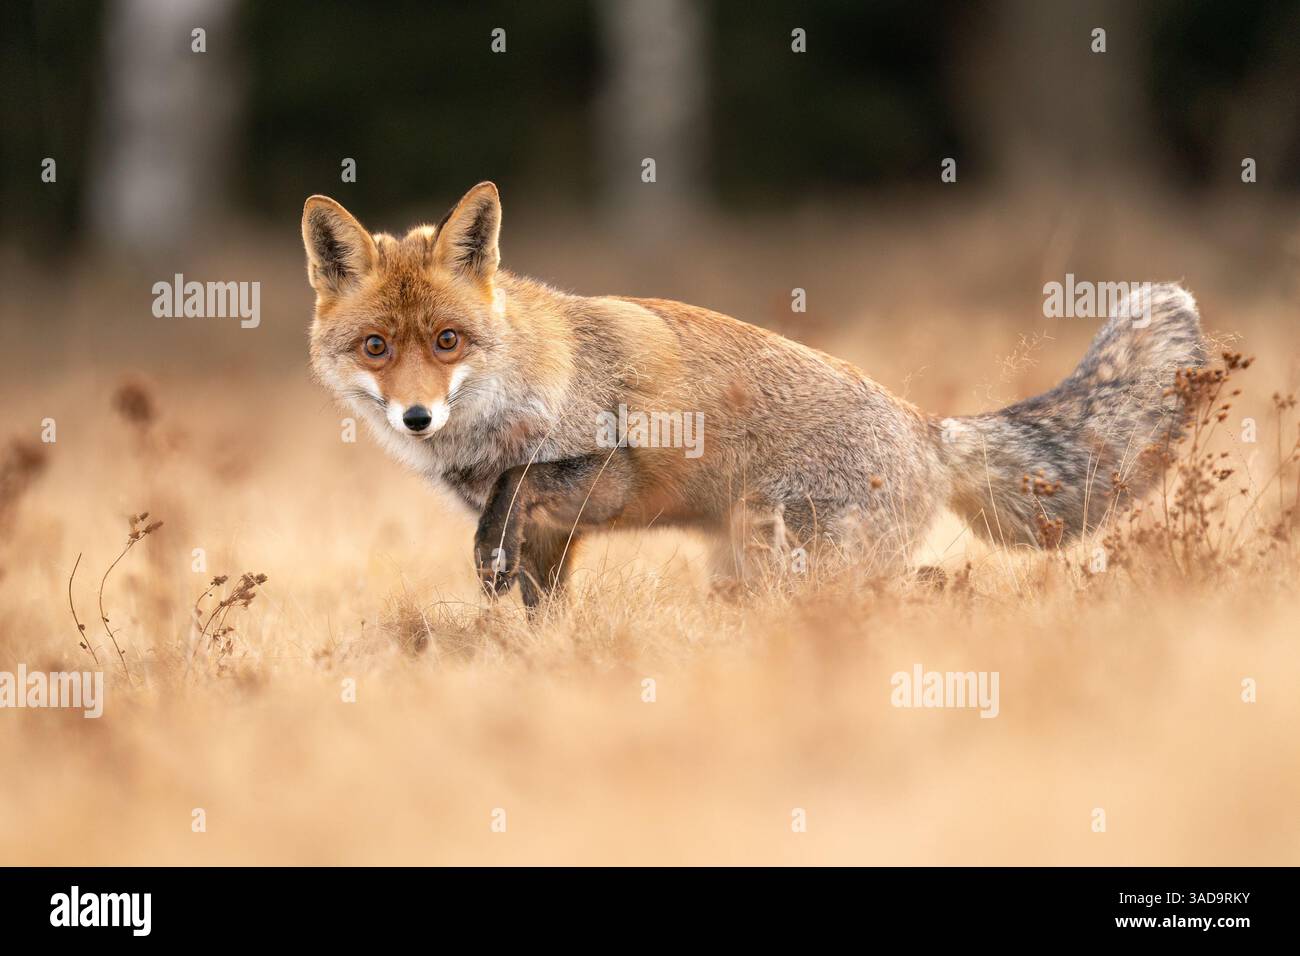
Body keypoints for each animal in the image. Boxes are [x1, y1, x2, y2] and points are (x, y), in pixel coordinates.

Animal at [302, 182, 1204, 609]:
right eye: (377, 348)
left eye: (447, 341)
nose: (418, 416)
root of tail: (926, 424)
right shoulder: (557, 540)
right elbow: (536, 610)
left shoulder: (604, 473)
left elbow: (514, 492)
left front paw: (486, 558)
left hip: (796, 559)